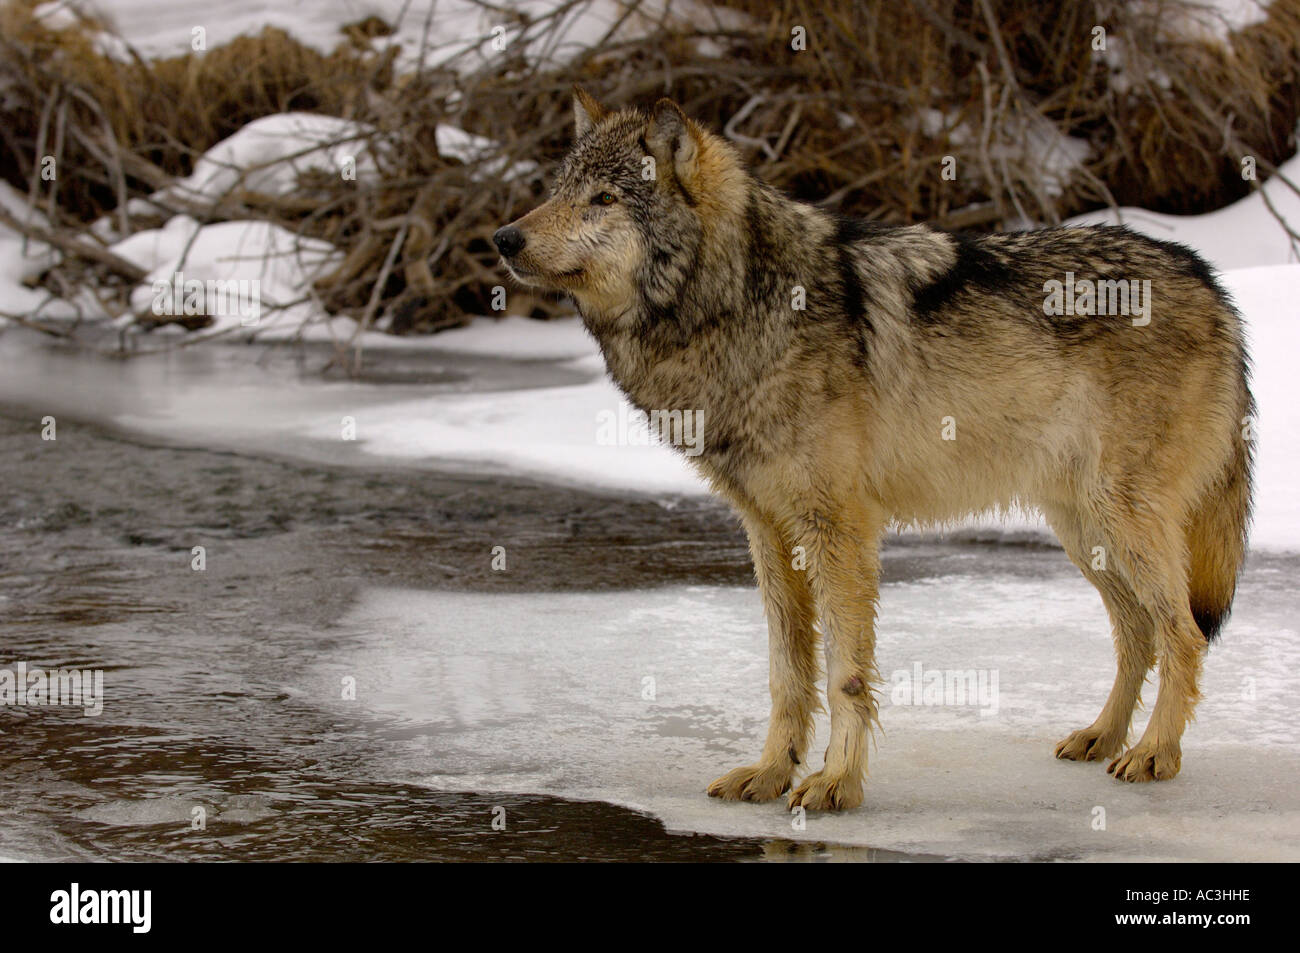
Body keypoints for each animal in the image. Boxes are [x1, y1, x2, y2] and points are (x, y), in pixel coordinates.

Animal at [493, 88, 1254, 811]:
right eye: (559, 189)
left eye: (604, 199)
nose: (503, 238)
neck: (738, 303)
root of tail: (1209, 278)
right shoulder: (768, 530)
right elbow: (788, 673)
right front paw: (771, 773)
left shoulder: (841, 528)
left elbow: (846, 673)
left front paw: (836, 784)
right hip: (1082, 529)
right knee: (1139, 633)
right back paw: (1102, 737)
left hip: (1122, 520)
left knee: (1183, 632)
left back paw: (1154, 752)